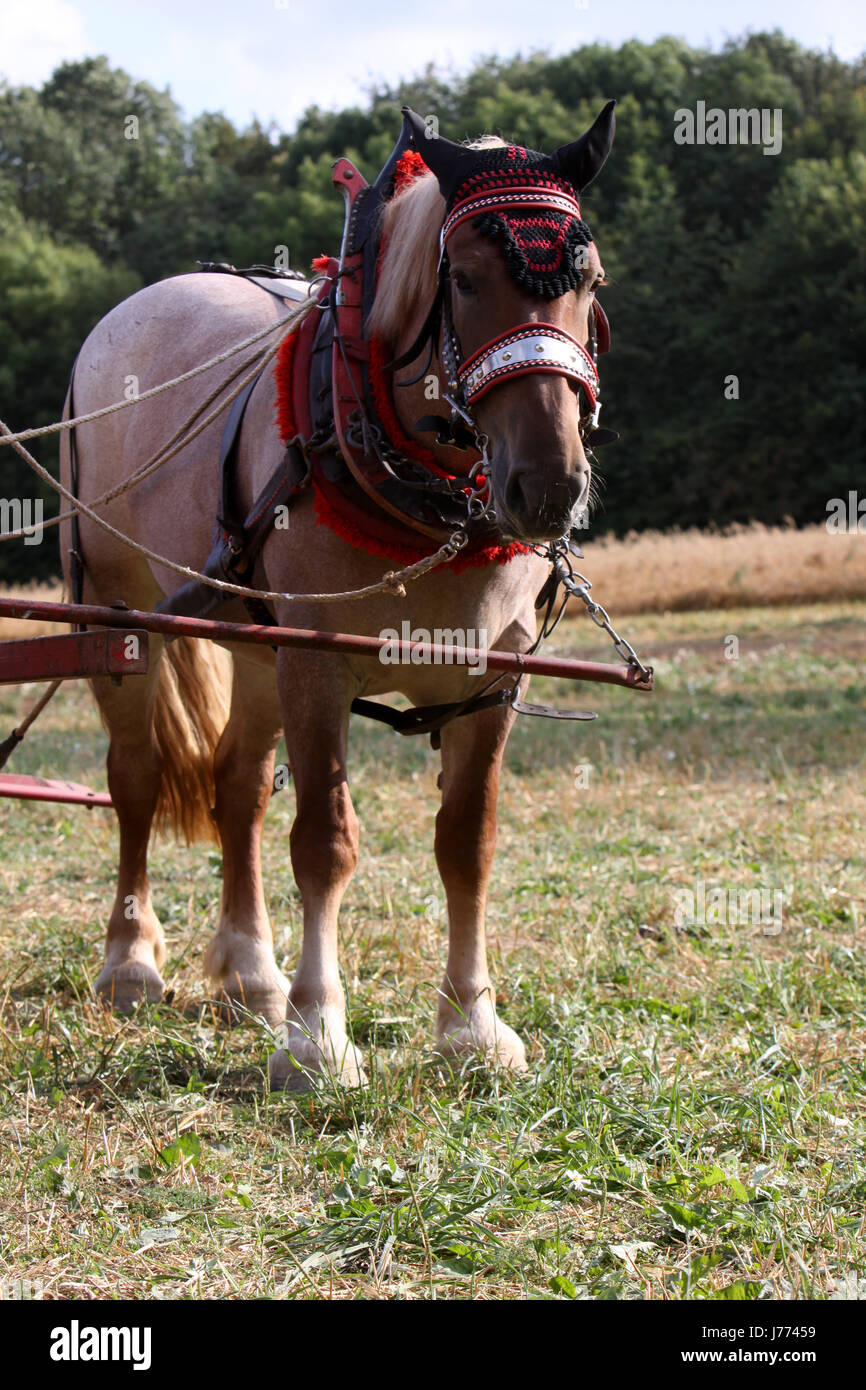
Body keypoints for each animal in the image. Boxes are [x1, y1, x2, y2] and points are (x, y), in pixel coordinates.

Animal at [59, 101, 616, 1089]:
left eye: (586, 281)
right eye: (463, 277)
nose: (548, 483)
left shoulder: (492, 674)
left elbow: (466, 844)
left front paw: (472, 1026)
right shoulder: (318, 664)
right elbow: (324, 842)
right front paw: (317, 1036)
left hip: (256, 646)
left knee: (238, 788)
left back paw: (251, 973)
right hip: (120, 617)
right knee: (136, 778)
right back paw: (131, 962)